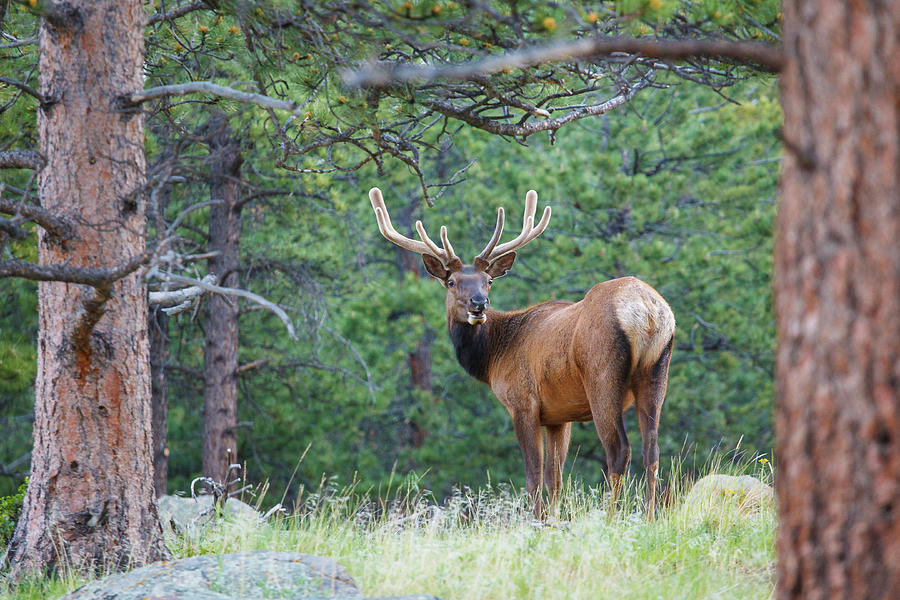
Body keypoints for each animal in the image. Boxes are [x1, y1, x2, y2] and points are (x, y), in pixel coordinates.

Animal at [369, 187, 675, 520]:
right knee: (652, 450)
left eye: (488, 281)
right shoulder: (558, 415)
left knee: (619, 450)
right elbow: (556, 478)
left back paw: (609, 518)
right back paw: (650, 517)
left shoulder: (522, 402)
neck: (493, 357)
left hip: (602, 376)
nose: (479, 304)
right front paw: (553, 520)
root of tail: (648, 312)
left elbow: (533, 478)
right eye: (451, 282)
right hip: (657, 373)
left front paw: (537, 521)